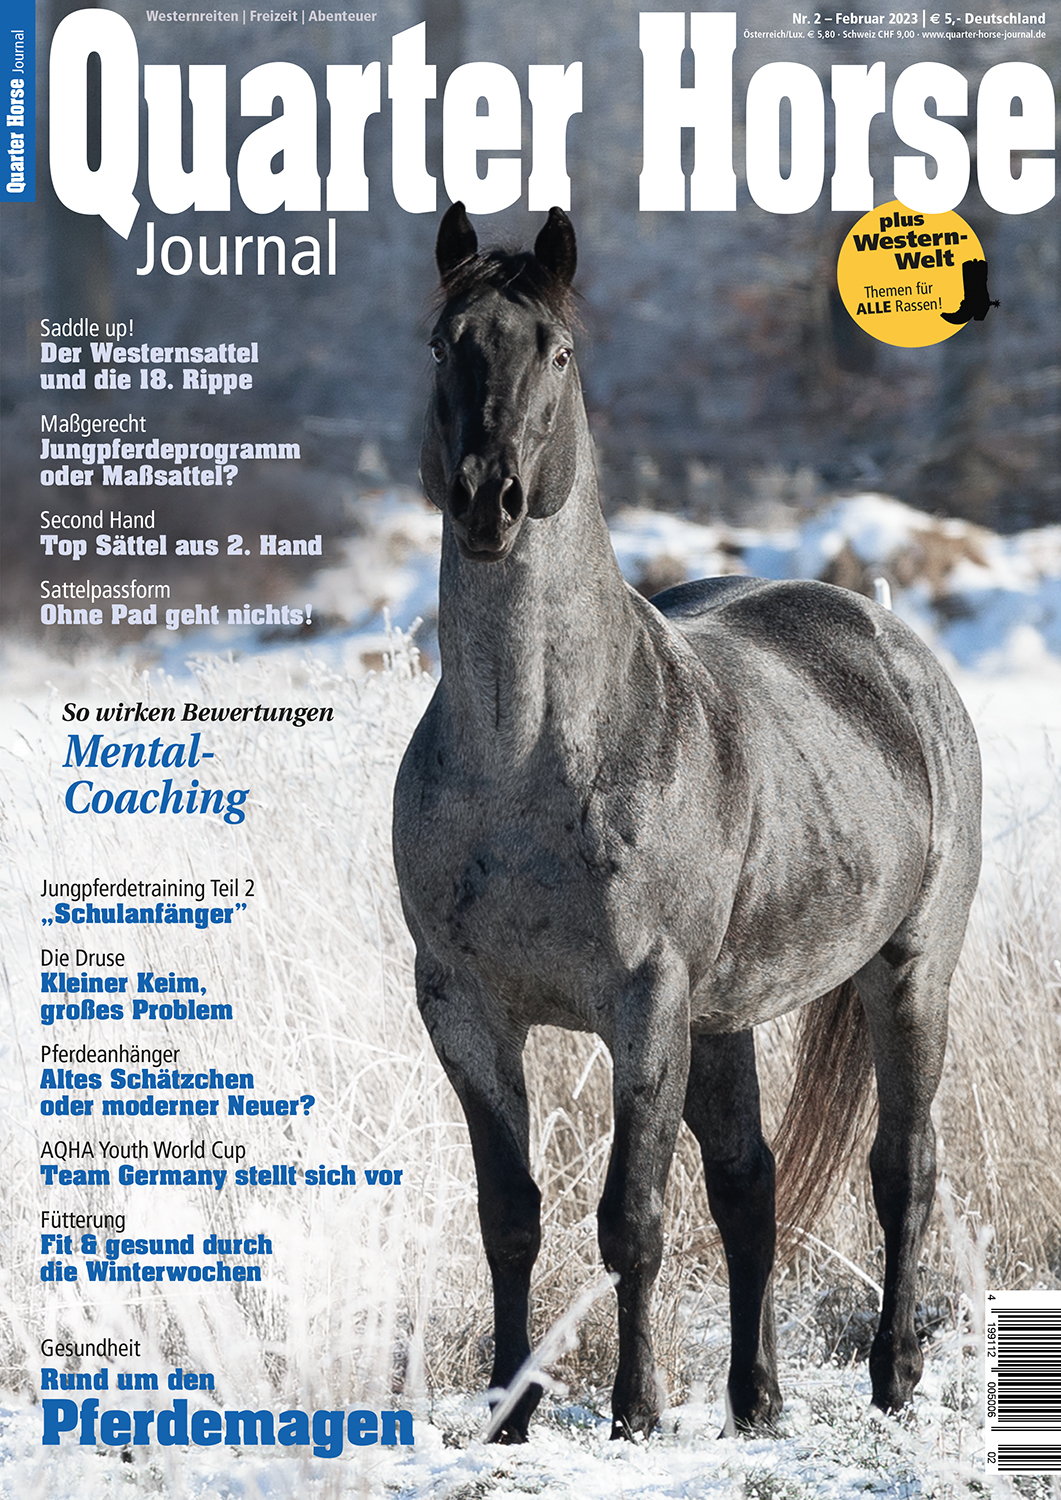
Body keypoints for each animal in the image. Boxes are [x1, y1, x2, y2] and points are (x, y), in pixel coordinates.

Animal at [392, 203, 982, 1443]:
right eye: (440, 346)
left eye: (556, 354)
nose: (486, 498)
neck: (526, 759)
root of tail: (885, 635)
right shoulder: (463, 1009)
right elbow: (510, 1215)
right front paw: (508, 1415)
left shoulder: (644, 1005)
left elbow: (632, 1217)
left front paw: (634, 1412)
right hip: (724, 1017)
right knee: (750, 1182)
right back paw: (755, 1401)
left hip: (909, 970)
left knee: (901, 1168)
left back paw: (892, 1374)